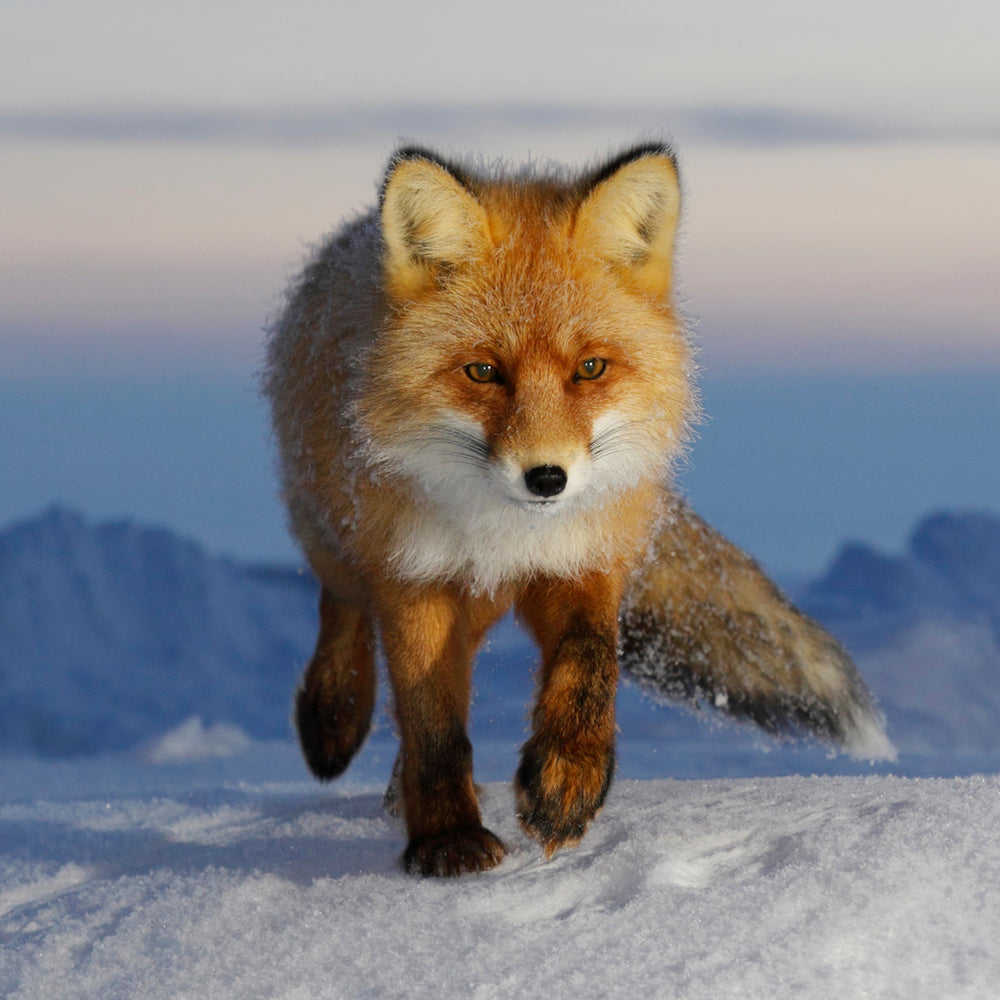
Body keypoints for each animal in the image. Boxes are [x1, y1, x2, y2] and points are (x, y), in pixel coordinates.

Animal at [263, 142, 893, 877]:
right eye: (483, 372)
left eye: (590, 368)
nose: (547, 479)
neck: (504, 534)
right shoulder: (413, 574)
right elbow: (433, 724)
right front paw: (447, 838)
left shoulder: (581, 558)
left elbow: (592, 665)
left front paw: (567, 780)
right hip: (332, 528)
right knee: (340, 603)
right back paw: (333, 715)